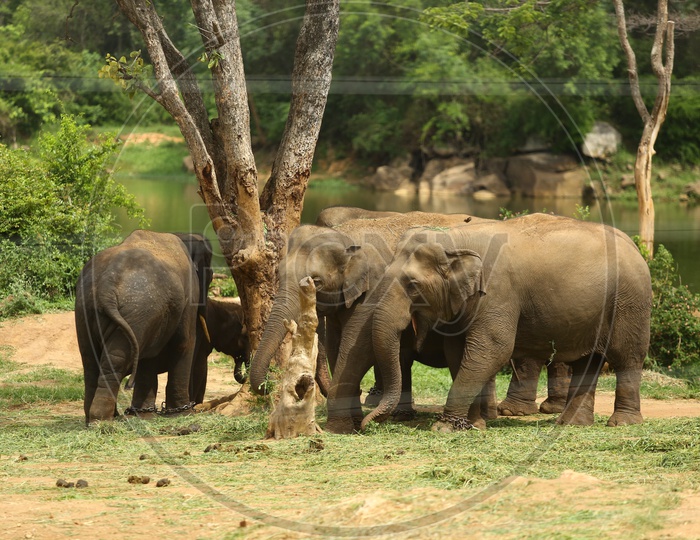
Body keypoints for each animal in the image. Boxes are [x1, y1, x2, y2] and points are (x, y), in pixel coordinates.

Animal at [76, 230, 212, 424]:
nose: (195, 405)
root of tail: (106, 285)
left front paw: (145, 415)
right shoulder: (188, 297)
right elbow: (184, 343)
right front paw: (183, 414)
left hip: (90, 309)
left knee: (90, 359)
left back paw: (95, 419)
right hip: (139, 307)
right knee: (116, 359)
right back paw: (102, 420)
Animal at [363, 213, 651, 431]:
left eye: (413, 285)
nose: (367, 425)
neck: (457, 236)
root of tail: (635, 246)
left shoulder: (498, 292)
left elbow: (491, 350)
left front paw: (444, 427)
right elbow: (458, 352)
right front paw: (474, 425)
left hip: (630, 302)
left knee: (628, 357)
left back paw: (622, 423)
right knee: (586, 363)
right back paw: (571, 424)